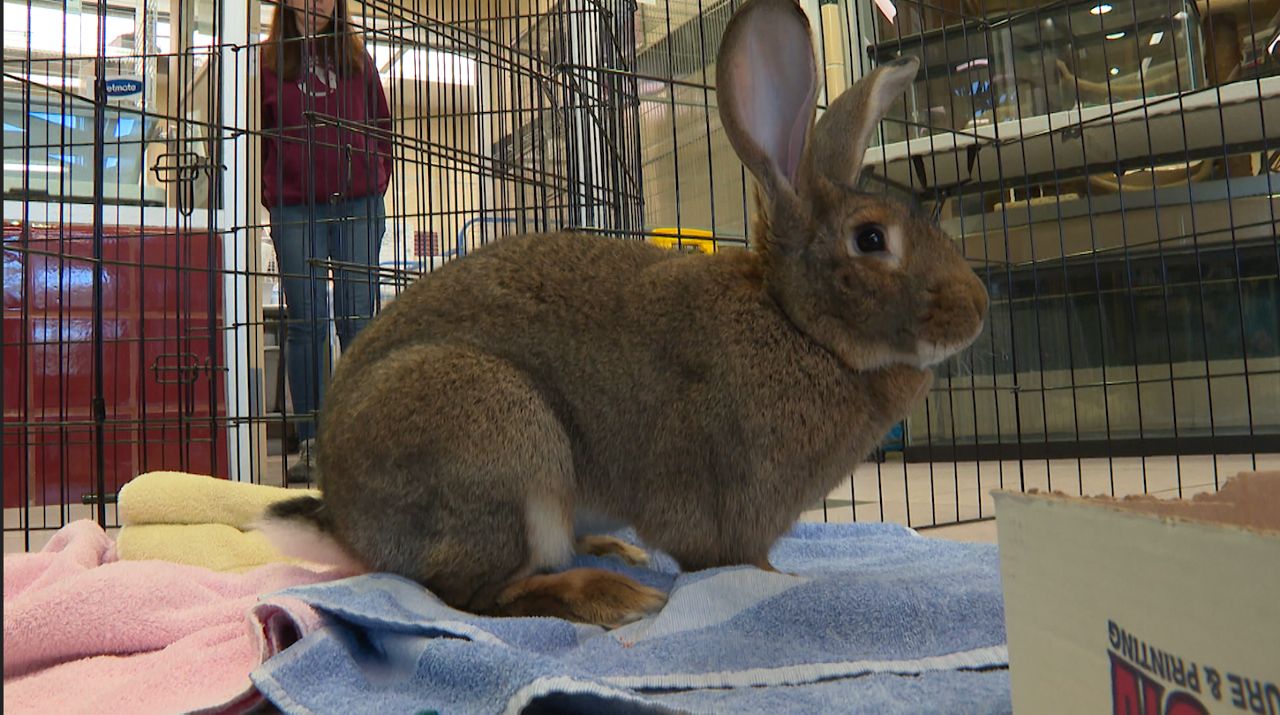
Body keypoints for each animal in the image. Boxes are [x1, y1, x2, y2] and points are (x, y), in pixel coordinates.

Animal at [261, 0, 989, 628]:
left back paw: (613, 553)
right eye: (871, 239)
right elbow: (728, 560)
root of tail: (345, 516)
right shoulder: (719, 496)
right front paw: (780, 583)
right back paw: (609, 593)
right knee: (468, 593)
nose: (978, 309)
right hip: (498, 441)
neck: (794, 321)